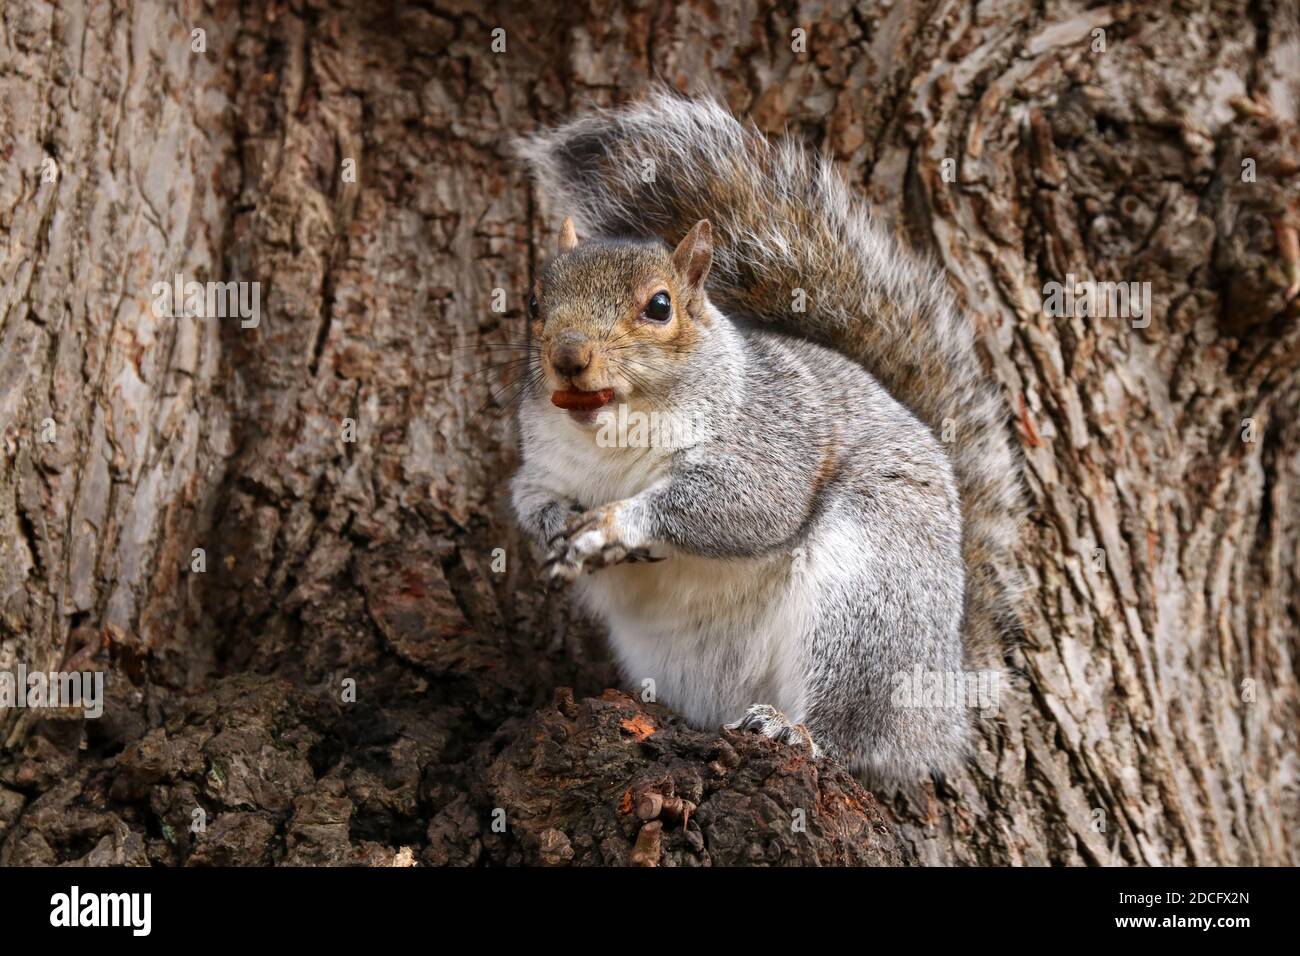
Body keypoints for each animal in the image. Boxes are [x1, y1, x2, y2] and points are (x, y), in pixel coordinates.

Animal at [509, 91, 1023, 786]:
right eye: (536, 303)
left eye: (660, 306)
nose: (568, 357)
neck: (612, 437)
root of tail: (940, 707)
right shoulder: (541, 464)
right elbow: (528, 501)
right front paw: (558, 530)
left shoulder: (773, 433)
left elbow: (750, 501)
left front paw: (615, 525)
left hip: (869, 592)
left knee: (855, 727)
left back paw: (798, 729)